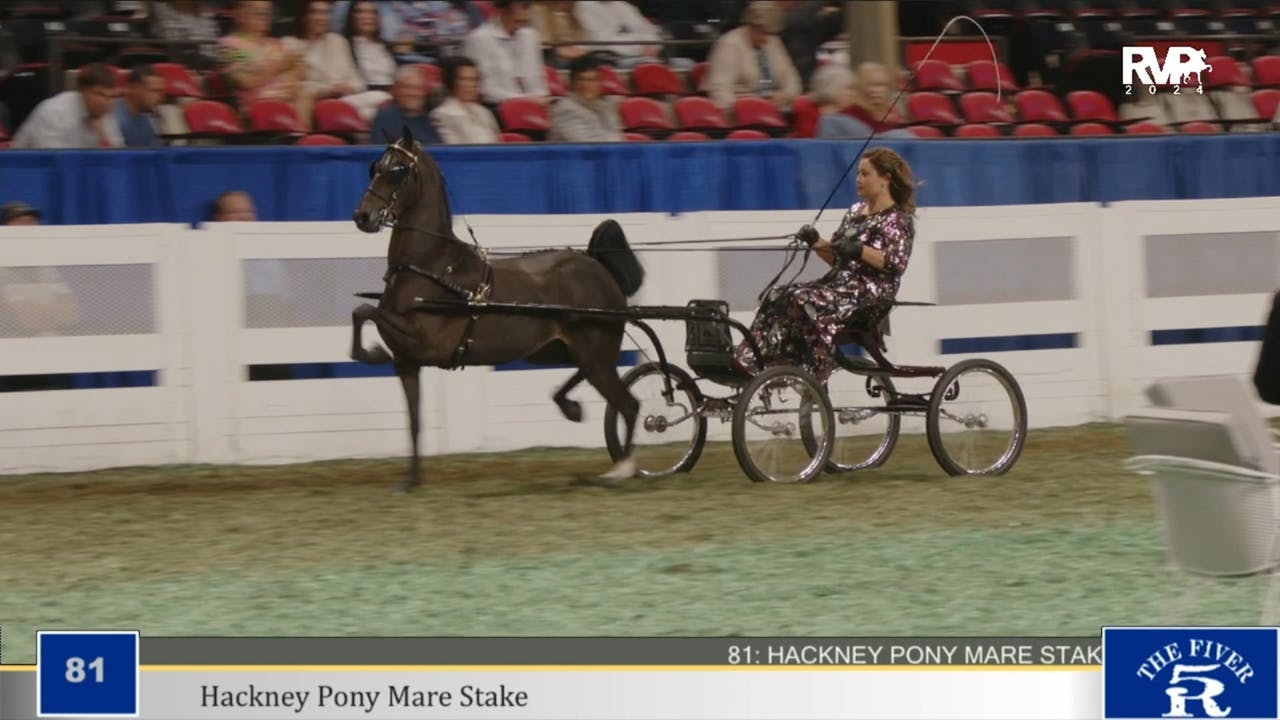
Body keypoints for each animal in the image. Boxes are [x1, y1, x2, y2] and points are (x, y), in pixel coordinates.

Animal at [350, 126, 645, 492]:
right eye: (375, 167)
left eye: (399, 170)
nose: (362, 216)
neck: (431, 266)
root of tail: (595, 264)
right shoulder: (407, 363)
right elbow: (414, 422)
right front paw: (410, 481)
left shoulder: (427, 341)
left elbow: (364, 311)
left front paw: (372, 353)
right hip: (559, 350)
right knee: (589, 380)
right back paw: (570, 407)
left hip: (596, 354)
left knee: (629, 405)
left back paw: (624, 469)